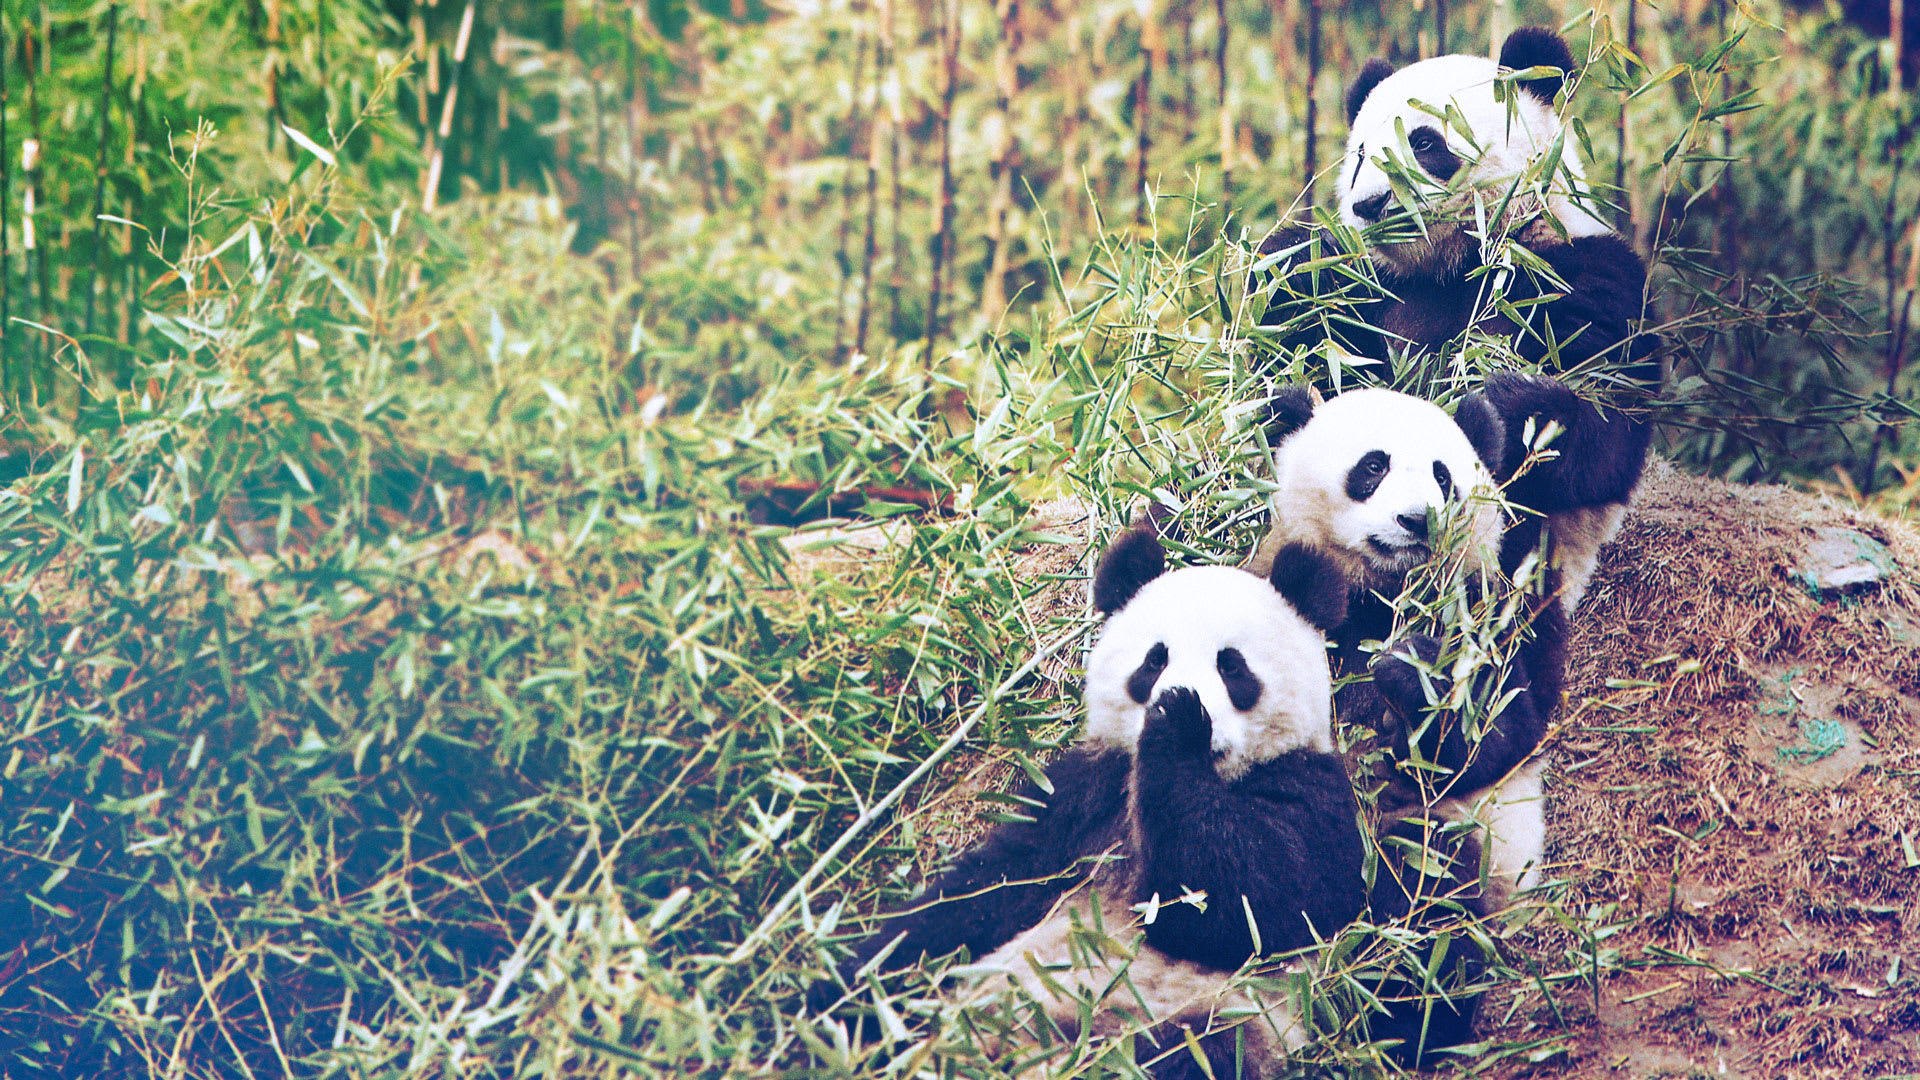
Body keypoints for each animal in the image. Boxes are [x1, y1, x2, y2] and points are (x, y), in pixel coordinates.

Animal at [811, 526, 1366, 1078]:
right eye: (1154, 660)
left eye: (1232, 666)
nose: (1183, 697)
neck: (1211, 776)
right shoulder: (1083, 795)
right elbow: (982, 891)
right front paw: (841, 986)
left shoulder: (1311, 790)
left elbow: (1254, 902)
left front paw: (1178, 723)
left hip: (1197, 1019)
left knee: (1185, 1053)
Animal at [1255, 26, 1655, 614]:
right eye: (1360, 156)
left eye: (1424, 143)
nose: (1370, 204)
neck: (1456, 264)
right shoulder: (1375, 290)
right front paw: (1293, 269)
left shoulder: (1586, 276)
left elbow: (1601, 435)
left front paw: (1502, 398)